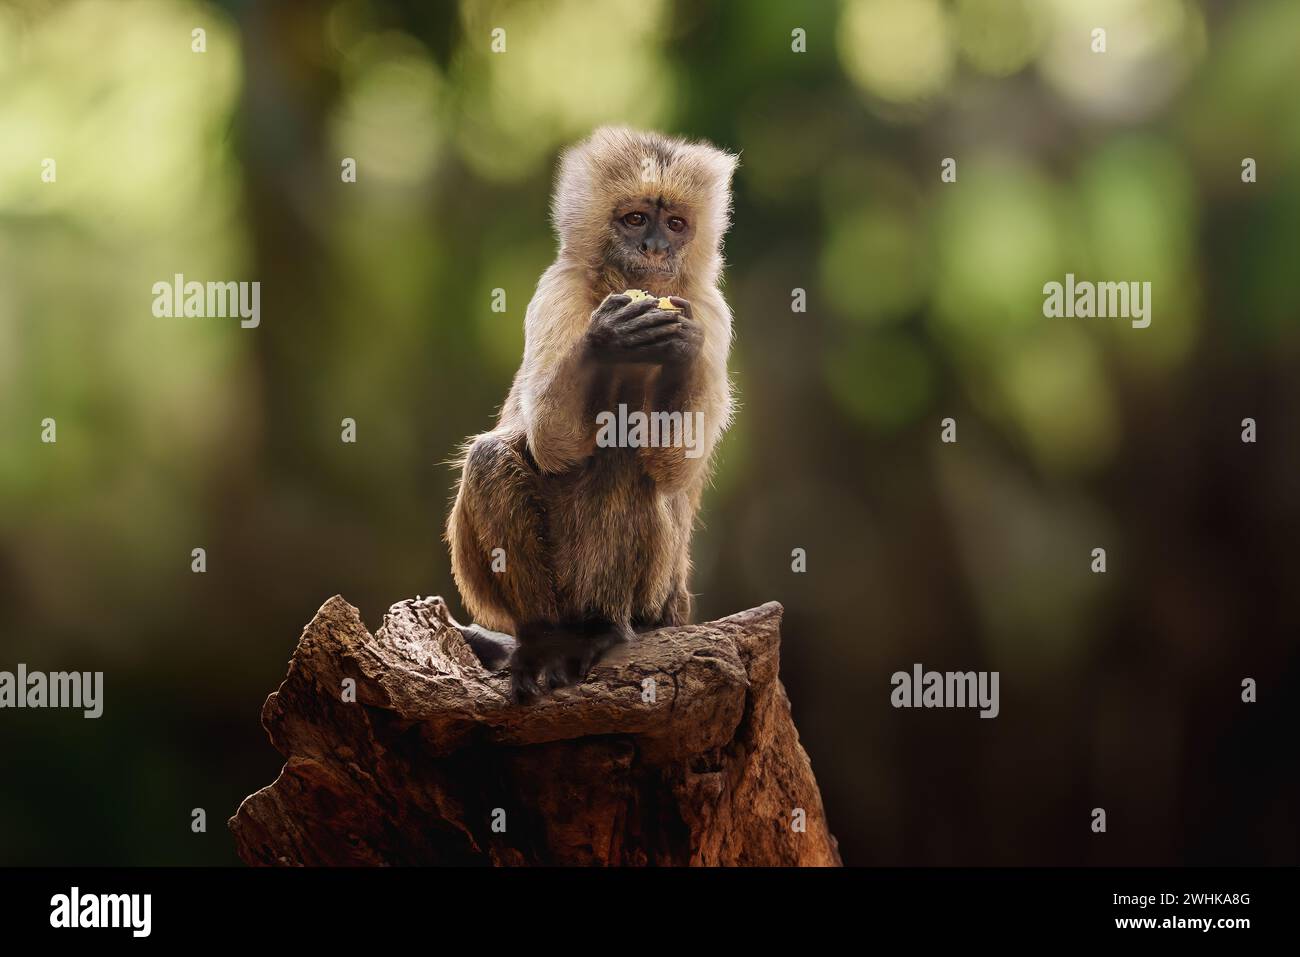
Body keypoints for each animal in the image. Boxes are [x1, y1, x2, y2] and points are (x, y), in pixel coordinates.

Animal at [445, 125, 738, 703]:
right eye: (636, 220)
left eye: (675, 224)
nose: (655, 247)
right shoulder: (557, 287)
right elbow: (550, 441)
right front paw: (608, 336)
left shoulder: (711, 313)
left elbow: (672, 465)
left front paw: (679, 347)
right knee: (498, 457)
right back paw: (545, 639)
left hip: (657, 595)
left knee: (625, 458)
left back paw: (601, 628)